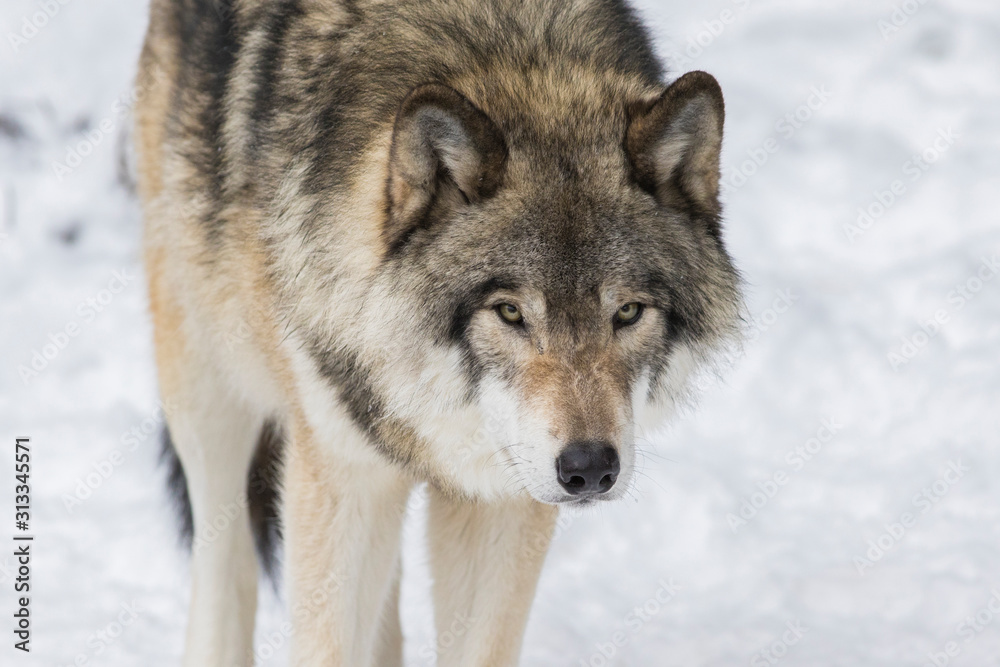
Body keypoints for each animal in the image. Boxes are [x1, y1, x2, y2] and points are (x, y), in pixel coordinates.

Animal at [134, 0, 741, 664]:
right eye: (509, 313)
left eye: (628, 312)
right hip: (206, 382)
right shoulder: (343, 476)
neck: (514, 58)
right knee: (224, 559)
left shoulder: (506, 498)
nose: (588, 469)